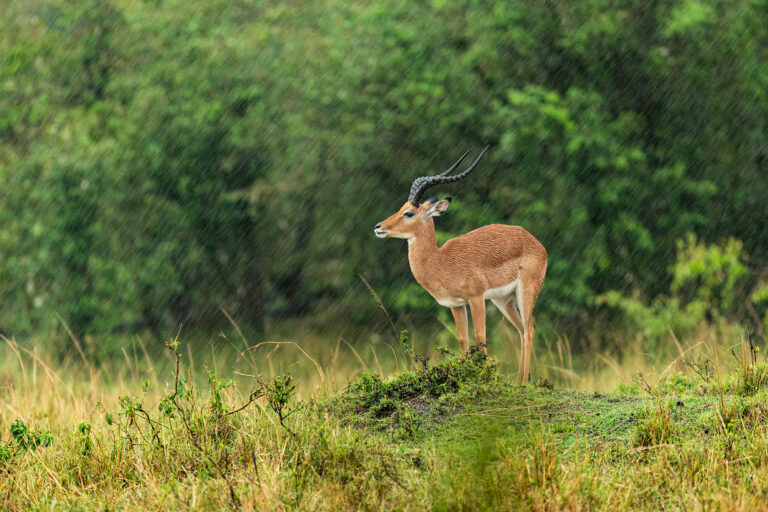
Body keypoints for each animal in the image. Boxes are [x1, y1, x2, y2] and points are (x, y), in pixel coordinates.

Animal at [374, 147, 547, 383]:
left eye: (409, 213)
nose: (378, 227)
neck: (441, 262)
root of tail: (535, 242)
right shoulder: (456, 305)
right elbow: (464, 340)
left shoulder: (476, 298)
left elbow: (480, 338)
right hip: (503, 300)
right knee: (521, 330)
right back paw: (521, 380)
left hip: (525, 292)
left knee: (529, 330)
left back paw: (523, 383)